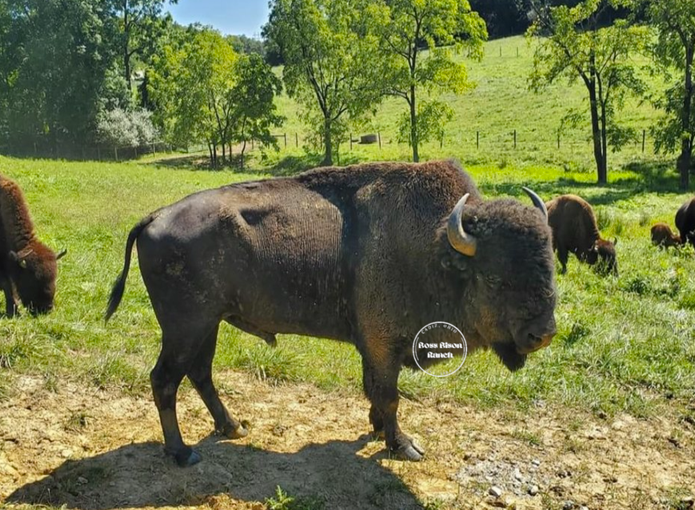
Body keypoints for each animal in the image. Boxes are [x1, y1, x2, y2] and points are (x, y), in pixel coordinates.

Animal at [106, 160, 557, 466]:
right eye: (494, 278)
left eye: (550, 261)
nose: (543, 333)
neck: (435, 248)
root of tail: (154, 216)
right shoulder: (383, 343)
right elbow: (389, 394)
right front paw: (404, 445)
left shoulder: (374, 348)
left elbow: (375, 390)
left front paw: (378, 428)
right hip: (185, 328)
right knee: (165, 380)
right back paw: (182, 453)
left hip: (207, 325)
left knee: (199, 374)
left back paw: (233, 427)